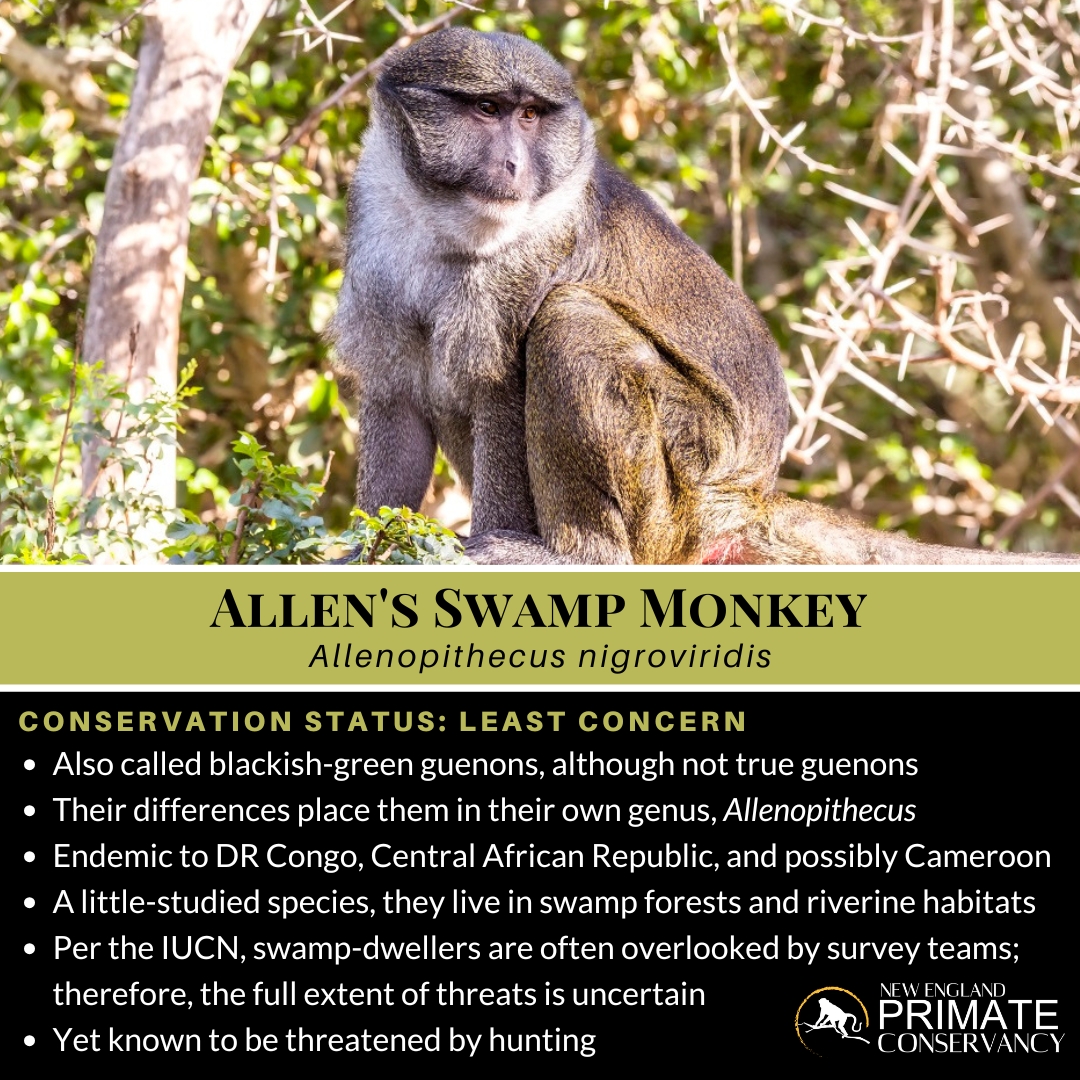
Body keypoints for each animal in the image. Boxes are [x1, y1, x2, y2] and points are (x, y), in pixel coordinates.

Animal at [329, 27, 1076, 565]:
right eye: (487, 110)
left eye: (533, 116)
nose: (515, 165)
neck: (439, 222)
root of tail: (745, 498)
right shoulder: (376, 236)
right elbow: (398, 400)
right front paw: (360, 551)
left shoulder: (524, 267)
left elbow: (498, 394)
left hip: (681, 486)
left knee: (572, 319)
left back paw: (584, 557)